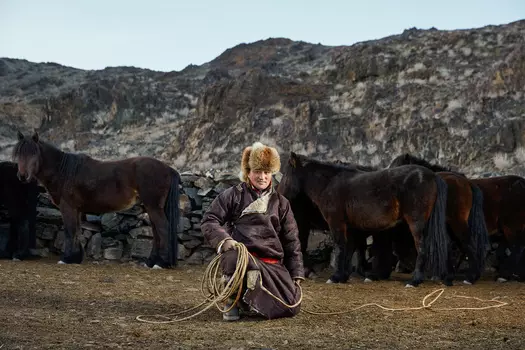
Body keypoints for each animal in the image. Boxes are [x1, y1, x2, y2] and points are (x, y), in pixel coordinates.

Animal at [12, 132, 180, 268]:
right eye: (18, 154)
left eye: (34, 153)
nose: (22, 176)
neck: (63, 171)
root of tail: (168, 169)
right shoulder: (76, 209)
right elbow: (76, 230)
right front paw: (75, 258)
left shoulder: (67, 207)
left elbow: (69, 230)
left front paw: (66, 259)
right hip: (152, 207)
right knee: (156, 232)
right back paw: (151, 262)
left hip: (153, 207)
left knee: (163, 229)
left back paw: (161, 263)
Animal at [276, 153, 448, 288]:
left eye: (286, 174)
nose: (279, 195)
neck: (329, 184)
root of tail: (432, 175)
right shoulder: (351, 227)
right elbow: (350, 248)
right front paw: (343, 276)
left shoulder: (336, 223)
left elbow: (341, 247)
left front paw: (336, 277)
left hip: (416, 223)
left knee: (421, 248)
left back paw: (414, 281)